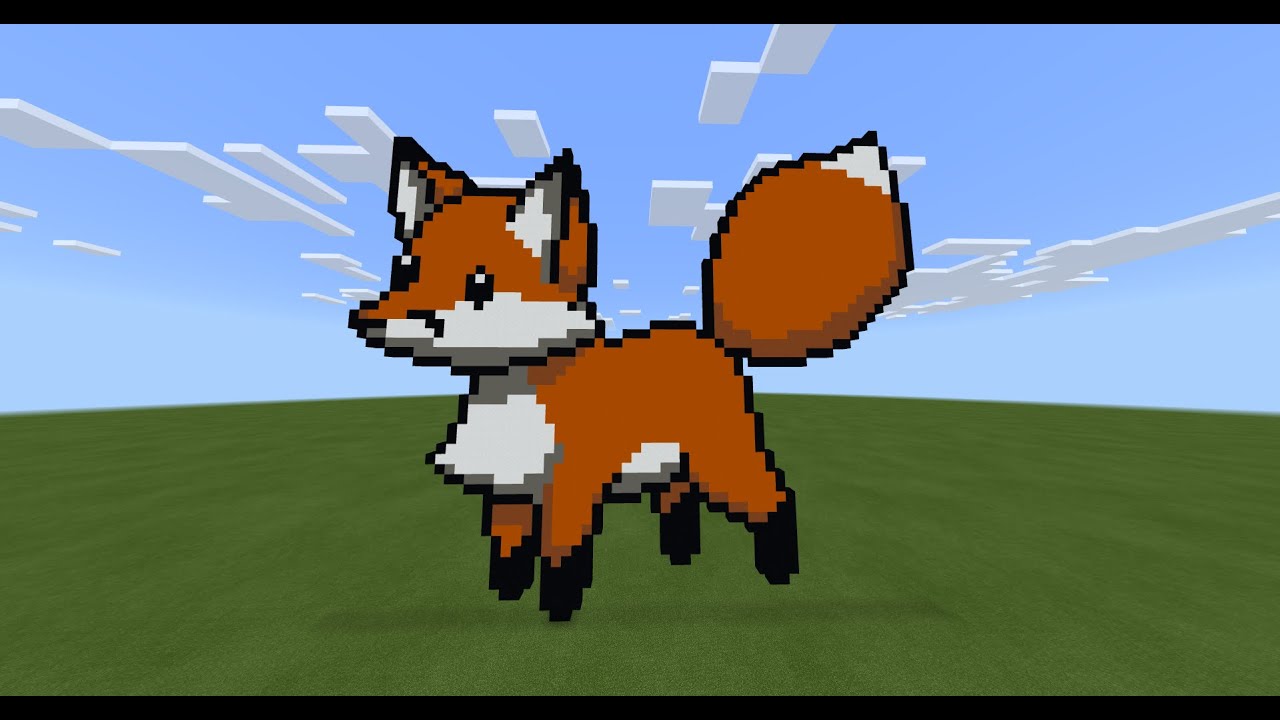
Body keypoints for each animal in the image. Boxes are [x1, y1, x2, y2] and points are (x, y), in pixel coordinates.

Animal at [350, 131, 913, 621]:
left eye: (480, 286)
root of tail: (711, 336)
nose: (369, 319)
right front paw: (504, 602)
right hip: (675, 467)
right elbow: (508, 556)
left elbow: (560, 559)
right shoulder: (509, 487)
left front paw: (556, 617)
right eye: (407, 271)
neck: (509, 399)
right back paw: (681, 561)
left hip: (723, 463)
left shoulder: (570, 485)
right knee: (679, 506)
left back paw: (779, 574)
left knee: (774, 499)